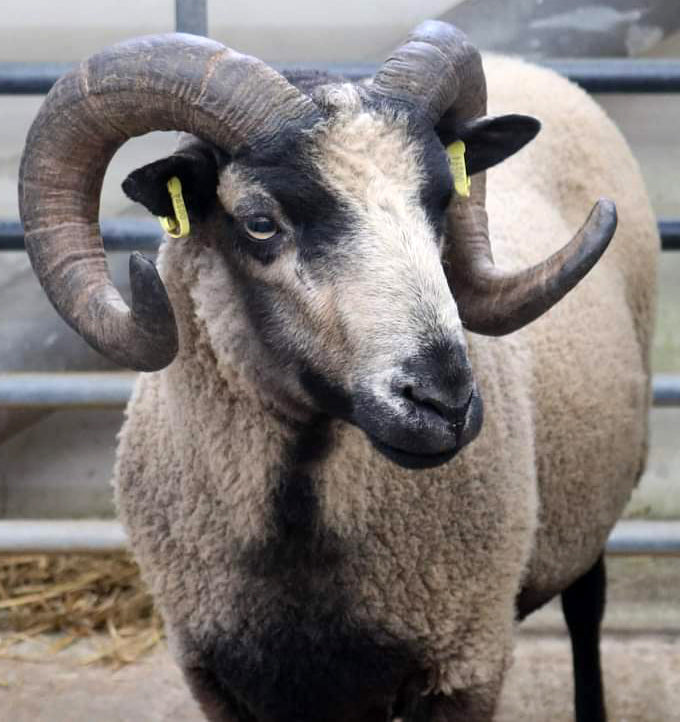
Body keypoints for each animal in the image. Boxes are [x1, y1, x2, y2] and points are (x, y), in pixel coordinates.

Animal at [18, 21, 658, 722]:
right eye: (260, 223)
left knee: (586, 607)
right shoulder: (216, 678)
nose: (444, 401)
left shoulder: (467, 660)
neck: (297, 529)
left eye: (442, 203)